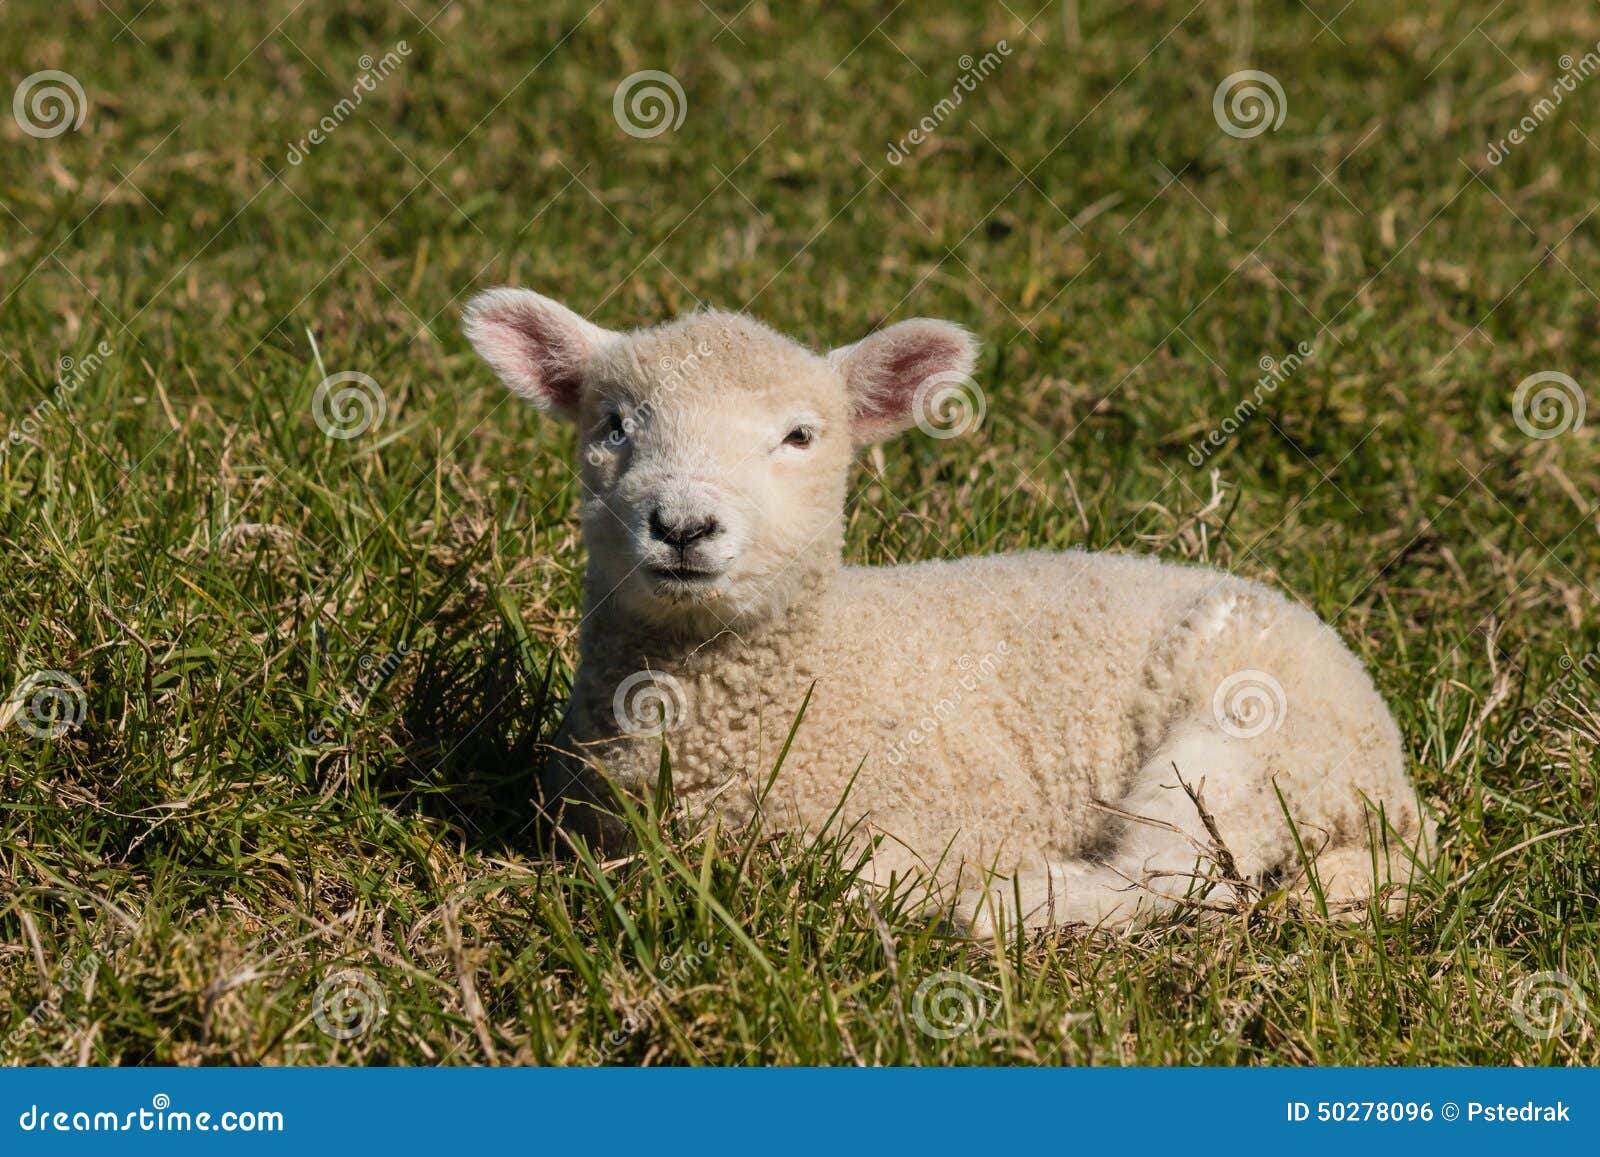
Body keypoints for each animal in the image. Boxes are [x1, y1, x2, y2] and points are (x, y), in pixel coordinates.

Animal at [463, 288, 1436, 935]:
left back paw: (998, 903)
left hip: (1253, 738)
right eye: (614, 425)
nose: (683, 524)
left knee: (1182, 870)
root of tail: (1391, 787)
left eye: (800, 436)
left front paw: (929, 882)